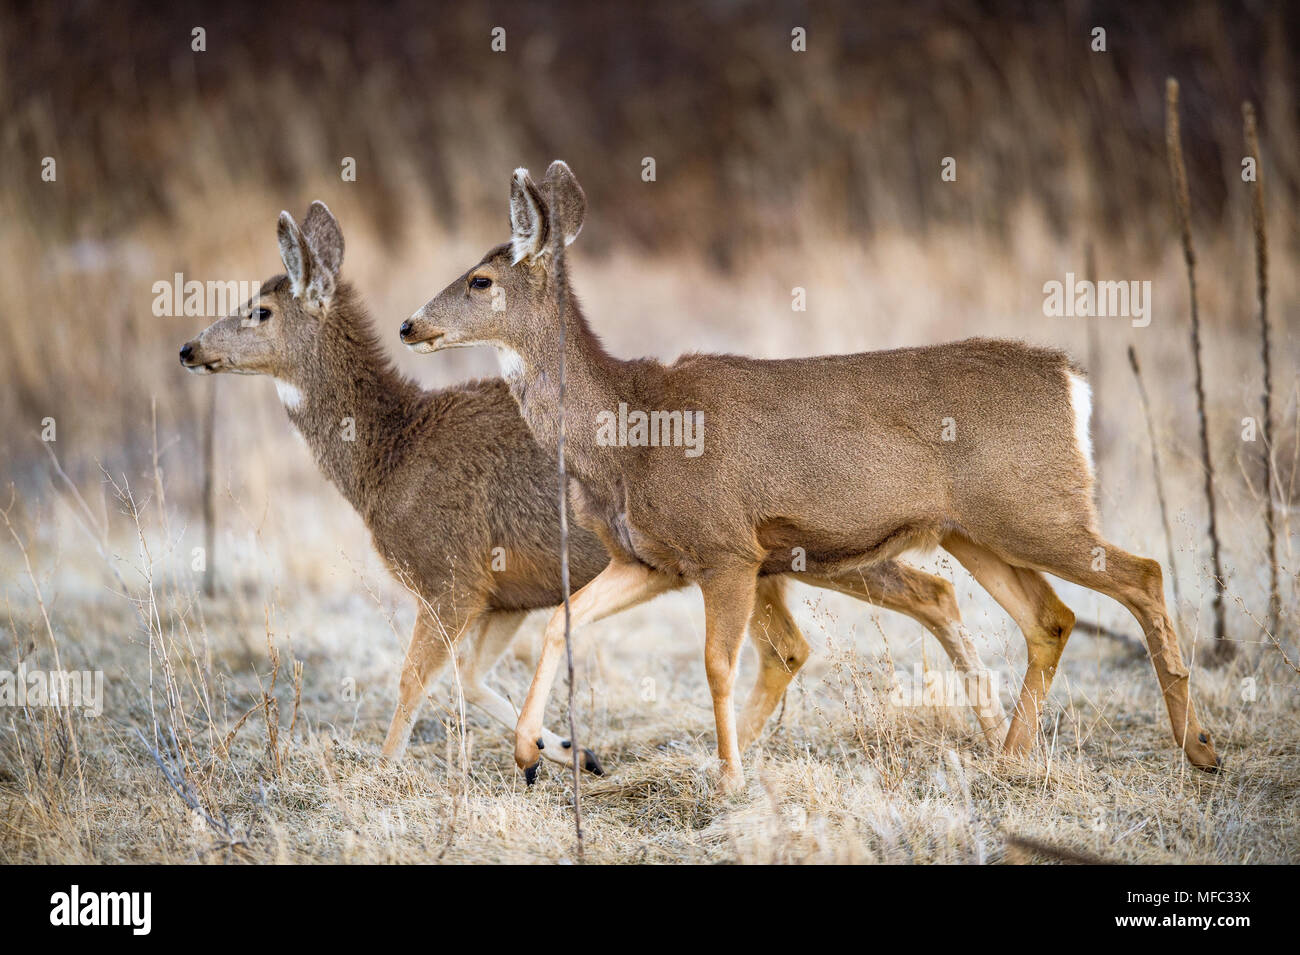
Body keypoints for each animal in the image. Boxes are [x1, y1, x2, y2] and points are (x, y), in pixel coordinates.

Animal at [179, 201, 1006, 778]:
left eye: (259, 308)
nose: (189, 347)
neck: (389, 455)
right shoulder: (505, 592)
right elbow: (471, 679)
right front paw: (569, 750)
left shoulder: (450, 573)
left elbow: (413, 681)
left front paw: (381, 775)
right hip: (784, 559)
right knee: (880, 612)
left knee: (915, 599)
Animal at [401, 161, 1221, 792]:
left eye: (479, 280)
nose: (410, 324)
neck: (629, 434)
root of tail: (1072, 381)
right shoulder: (651, 558)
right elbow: (561, 623)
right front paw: (533, 754)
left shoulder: (727, 549)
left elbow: (719, 664)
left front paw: (731, 778)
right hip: (975, 529)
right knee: (1049, 616)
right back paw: (1013, 758)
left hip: (1037, 508)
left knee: (1142, 574)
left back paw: (1201, 748)